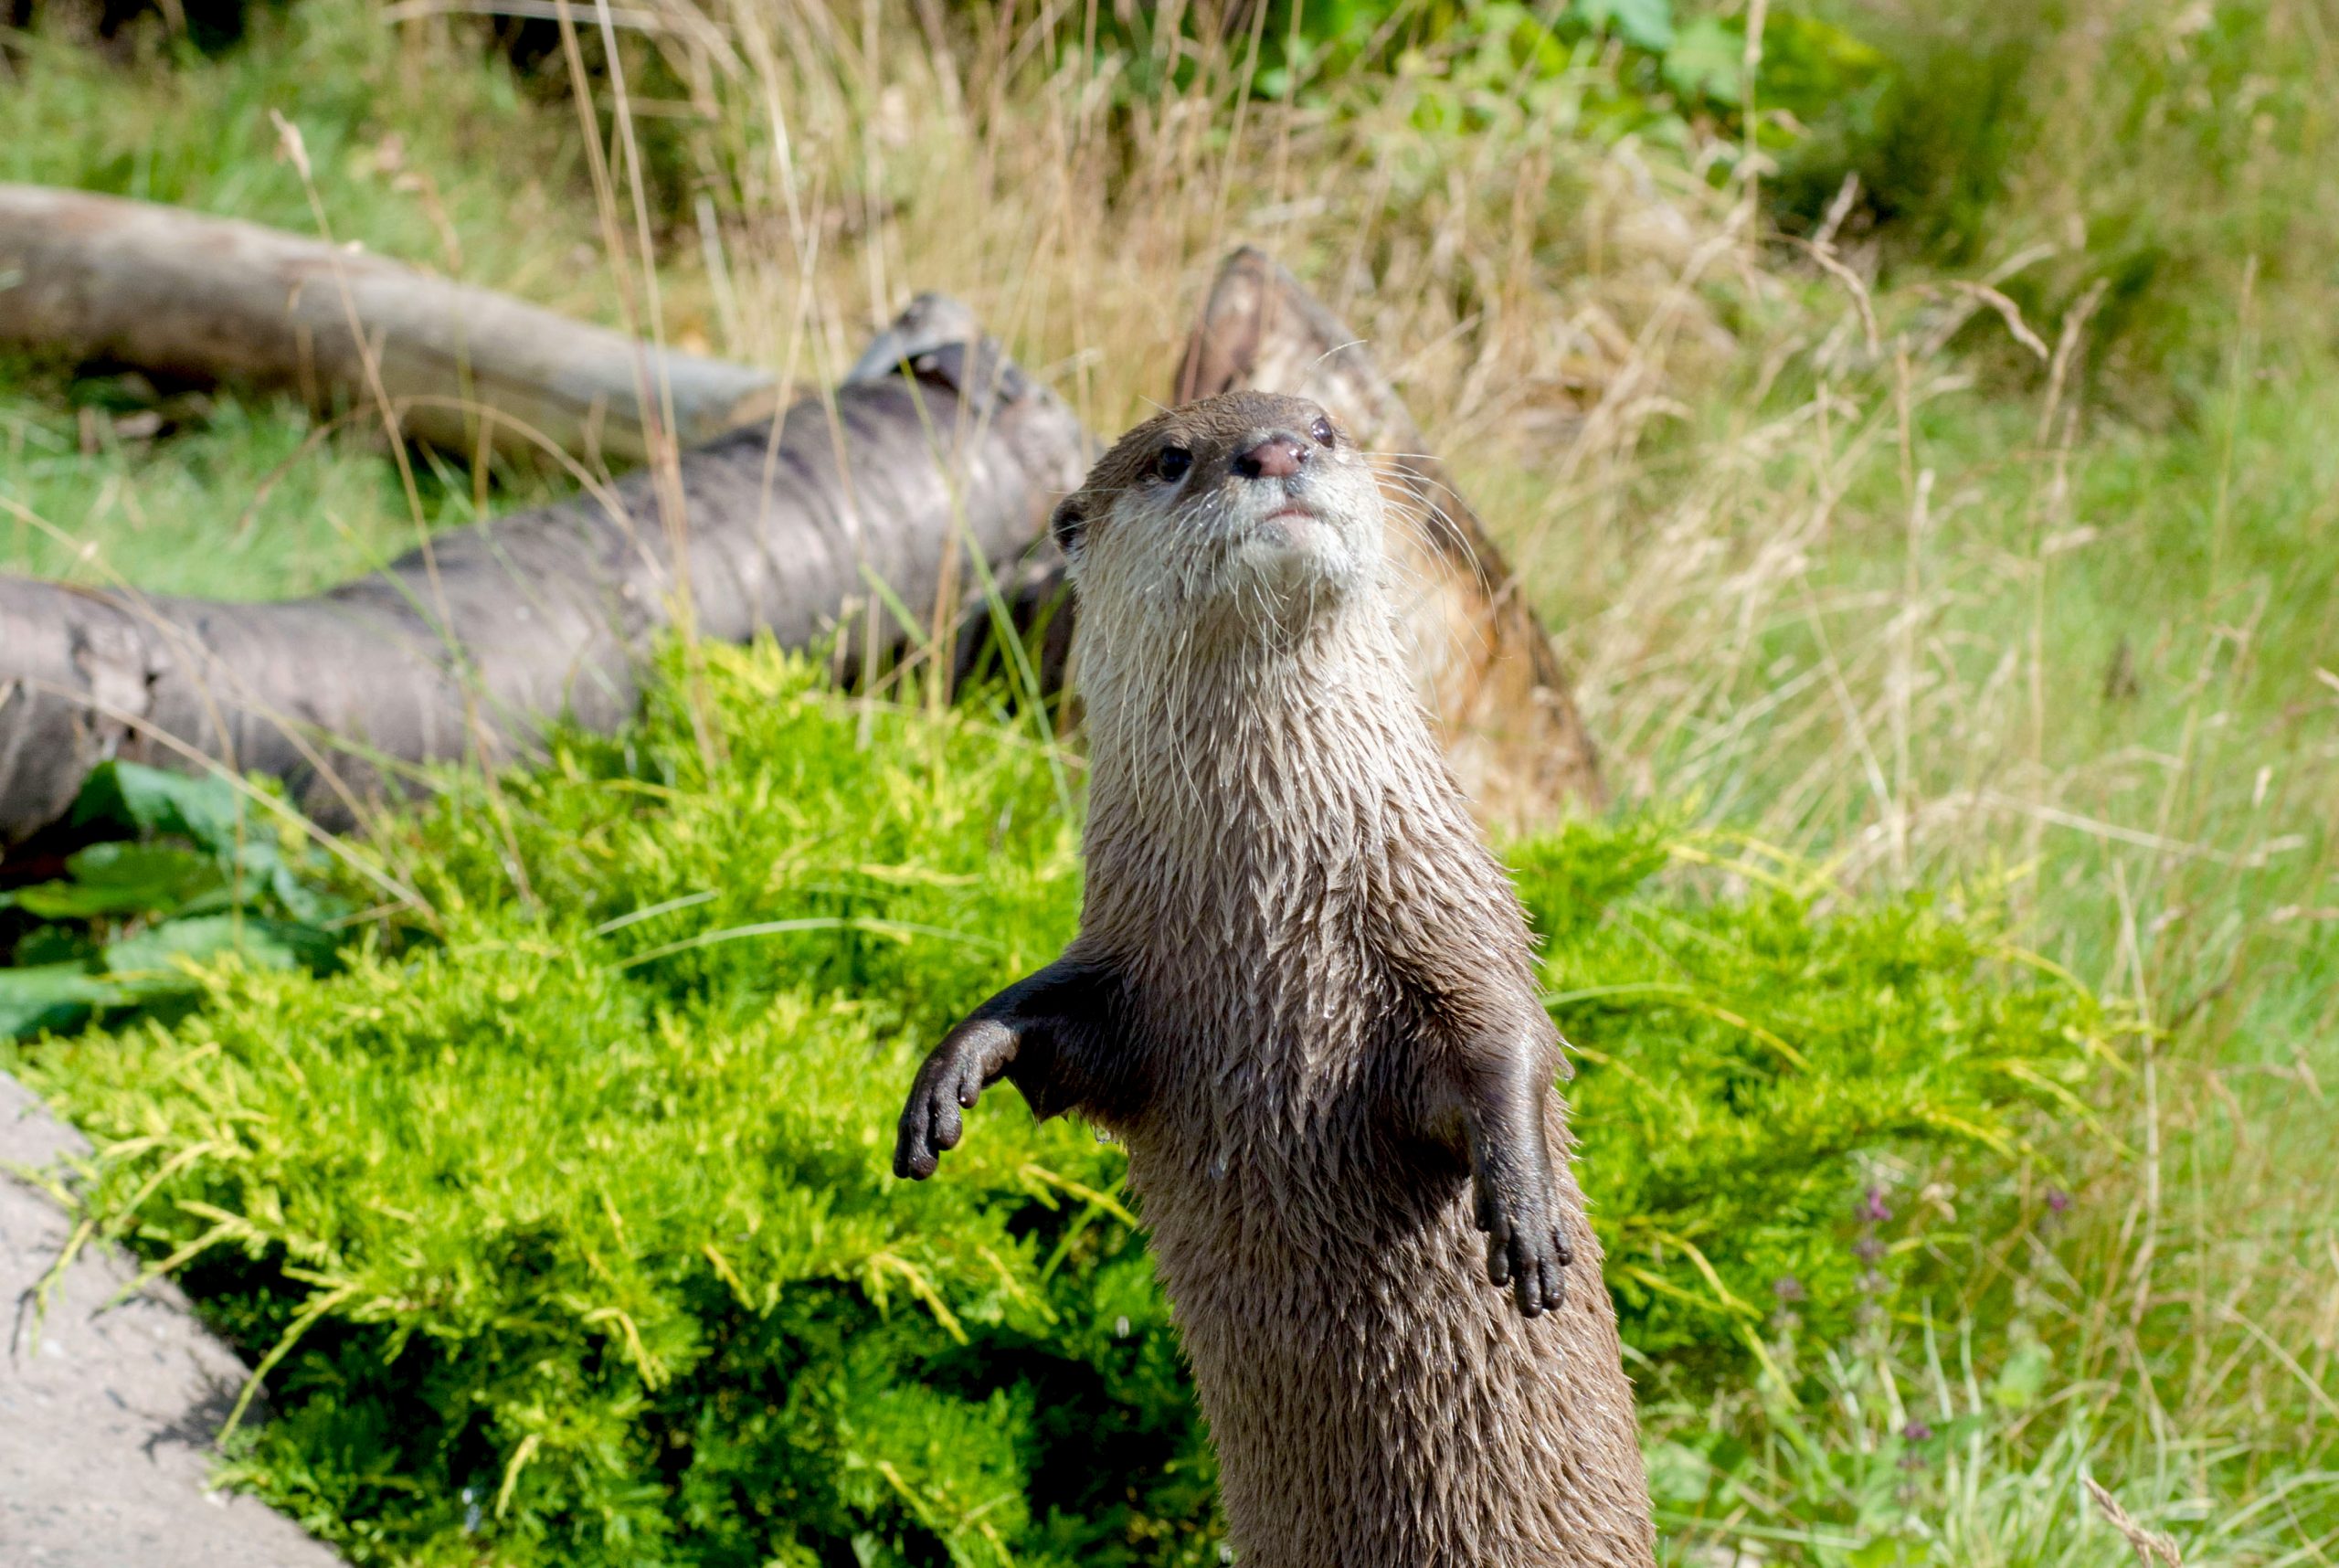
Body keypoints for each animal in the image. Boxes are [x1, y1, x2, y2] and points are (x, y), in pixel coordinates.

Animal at [893, 391, 1655, 1567]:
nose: (1277, 451)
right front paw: (953, 1069)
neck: (1270, 890)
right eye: (1171, 458)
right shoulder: (1136, 961)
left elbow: (1505, 1041)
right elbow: (1057, 1025)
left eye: (1326, 424)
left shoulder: (1449, 908)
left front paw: (1524, 1212)